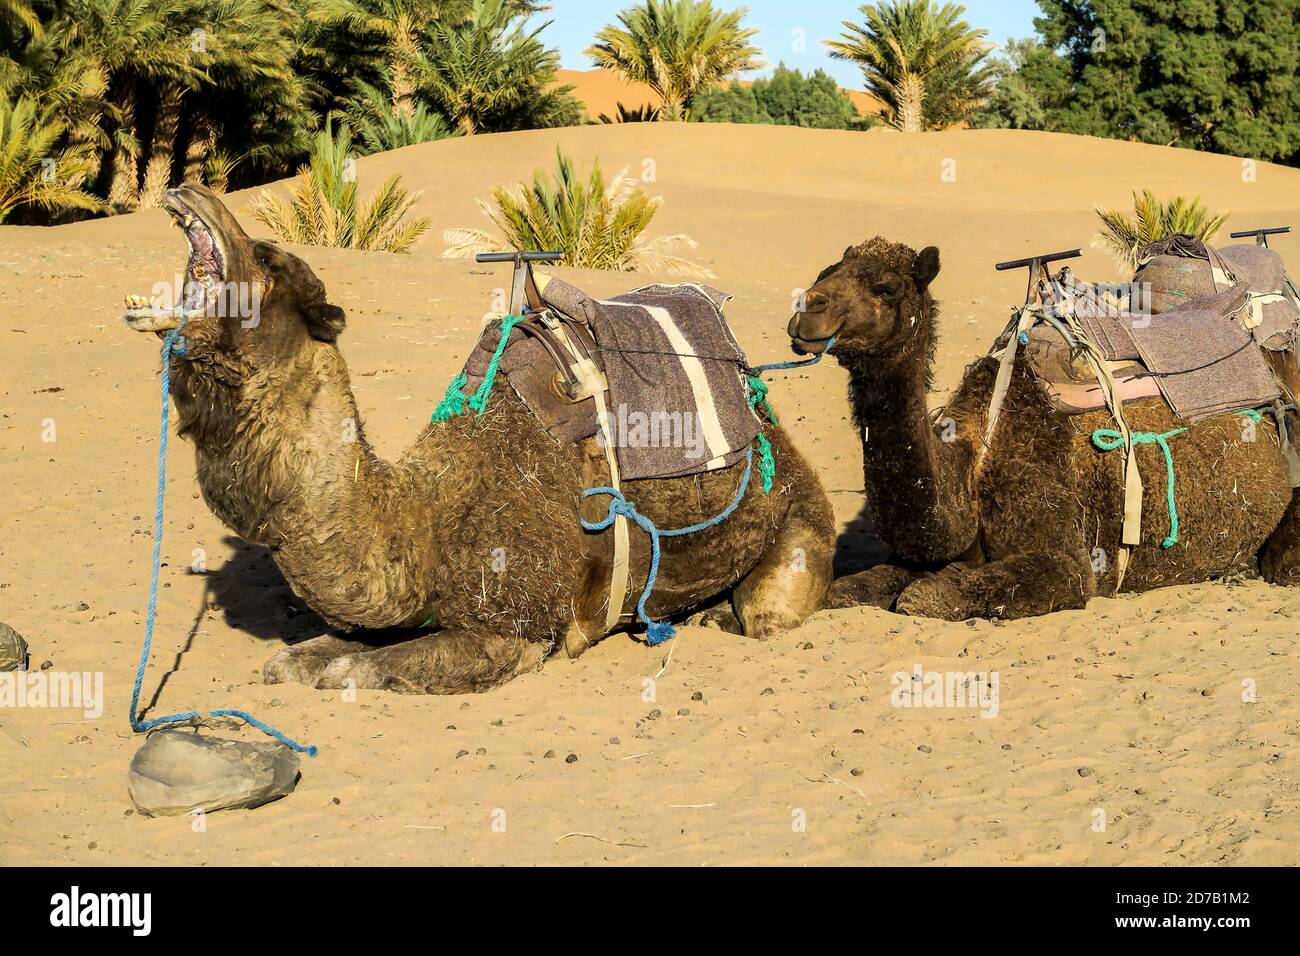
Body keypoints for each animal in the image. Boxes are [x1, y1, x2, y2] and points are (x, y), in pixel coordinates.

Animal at [123, 185, 836, 694]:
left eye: (267, 260)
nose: (192, 191)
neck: (423, 524)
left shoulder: (513, 634)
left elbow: (355, 669)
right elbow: (297, 660)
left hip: (798, 522)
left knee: (768, 610)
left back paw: (720, 615)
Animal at [791, 237, 1300, 621]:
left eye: (888, 286)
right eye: (826, 271)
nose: (806, 308)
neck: (973, 464)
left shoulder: (1068, 561)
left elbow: (923, 597)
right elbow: (842, 590)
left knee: (1285, 565)